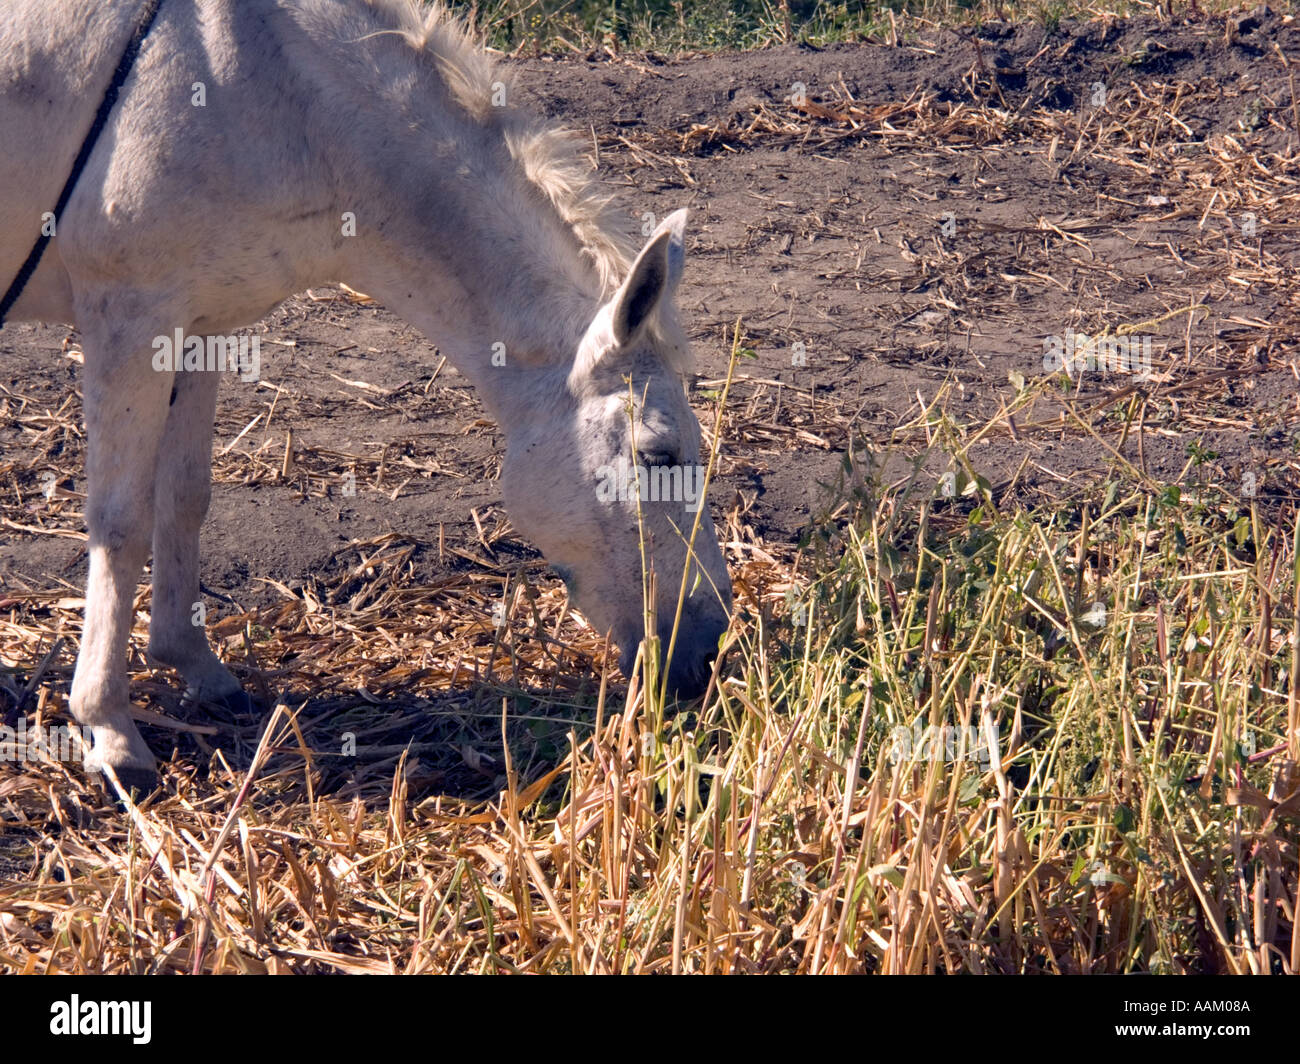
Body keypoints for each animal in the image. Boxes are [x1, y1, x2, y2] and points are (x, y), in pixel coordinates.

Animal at [0, 0, 733, 792]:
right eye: (657, 453)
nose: (710, 646)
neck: (264, 86)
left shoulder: (200, 328)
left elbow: (185, 498)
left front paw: (196, 668)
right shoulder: (130, 321)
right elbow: (120, 522)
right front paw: (108, 728)